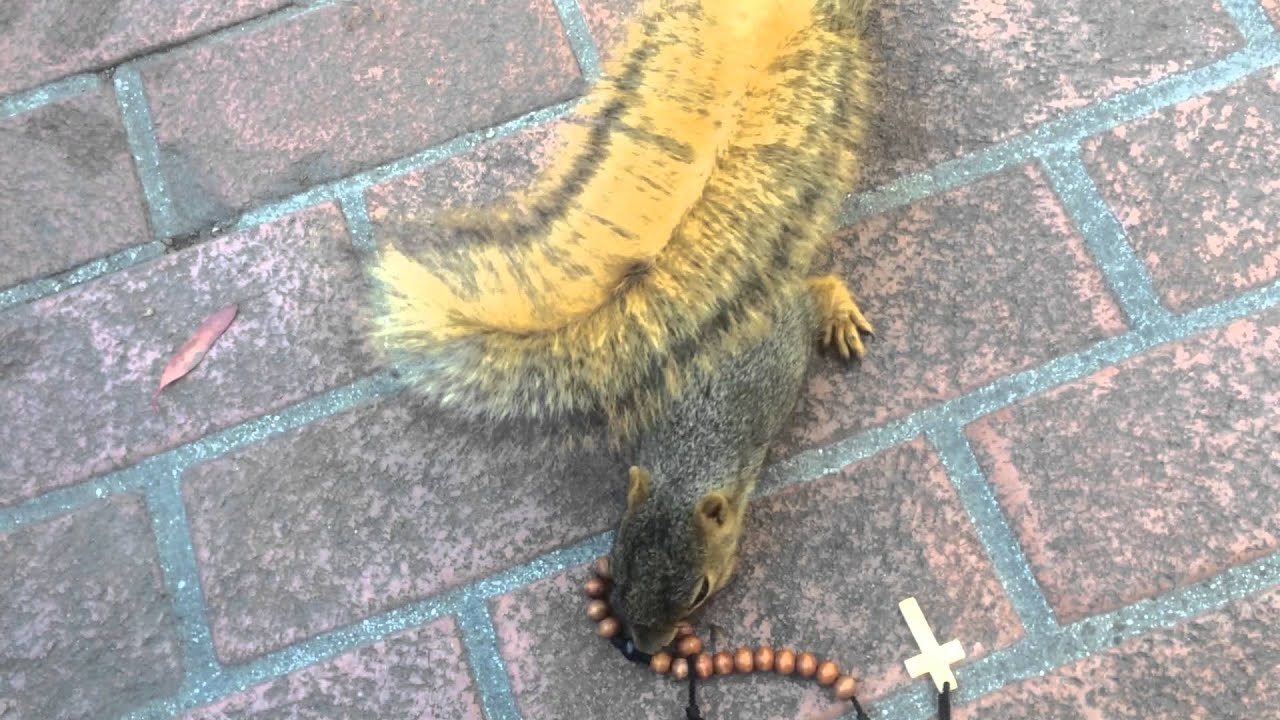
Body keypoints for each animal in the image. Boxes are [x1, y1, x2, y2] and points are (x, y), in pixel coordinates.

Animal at [369, 0, 877, 653]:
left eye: (700, 593)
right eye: (617, 564)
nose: (642, 649)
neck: (686, 466)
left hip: (793, 323)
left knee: (821, 289)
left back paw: (838, 314)